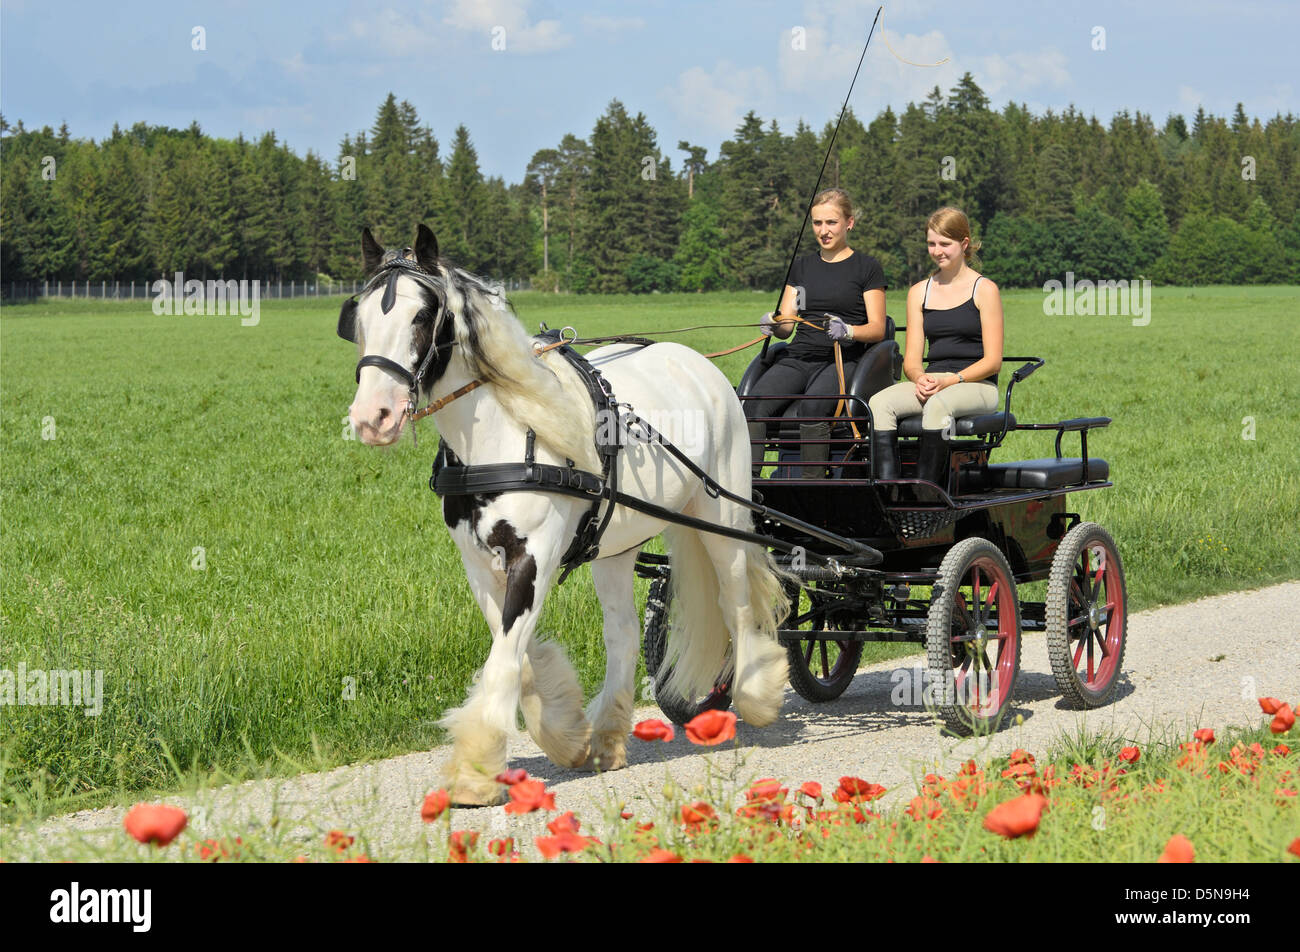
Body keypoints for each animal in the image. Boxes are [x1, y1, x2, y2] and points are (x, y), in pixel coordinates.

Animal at [341, 224, 789, 806]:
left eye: (422, 315)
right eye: (361, 318)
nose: (371, 417)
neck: (503, 434)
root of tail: (696, 363)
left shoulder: (536, 555)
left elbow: (508, 655)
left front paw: (475, 772)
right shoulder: (480, 563)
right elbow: (514, 652)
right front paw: (562, 734)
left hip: (722, 516)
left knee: (734, 599)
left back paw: (756, 695)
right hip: (615, 547)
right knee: (622, 634)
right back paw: (607, 738)